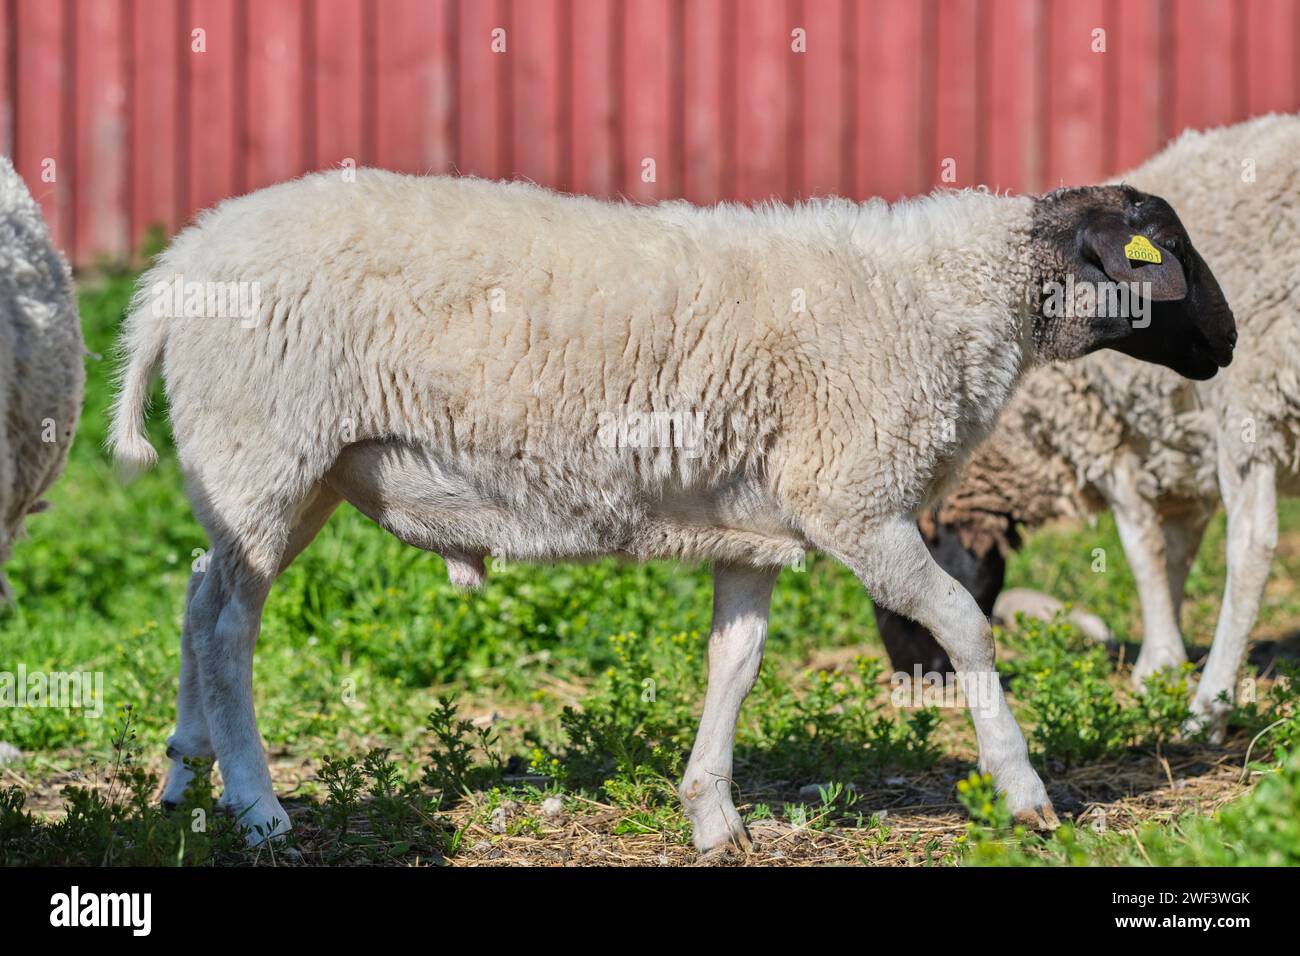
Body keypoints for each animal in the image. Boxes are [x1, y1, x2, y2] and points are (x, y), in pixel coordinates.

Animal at [109, 169, 1235, 848]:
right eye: (1163, 250)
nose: (1226, 346)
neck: (947, 297)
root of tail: (173, 273)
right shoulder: (856, 504)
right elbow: (964, 625)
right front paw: (1023, 790)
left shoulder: (759, 533)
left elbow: (733, 664)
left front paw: (712, 816)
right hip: (266, 449)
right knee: (229, 629)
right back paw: (258, 807)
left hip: (287, 472)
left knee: (198, 593)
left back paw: (184, 772)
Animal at [875, 114, 1299, 742]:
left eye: (924, 537)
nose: (911, 673)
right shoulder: (1176, 449)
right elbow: (1176, 551)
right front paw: (1164, 656)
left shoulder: (1108, 437)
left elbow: (1143, 549)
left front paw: (1160, 662)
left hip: (1252, 400)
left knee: (1252, 547)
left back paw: (1209, 707)